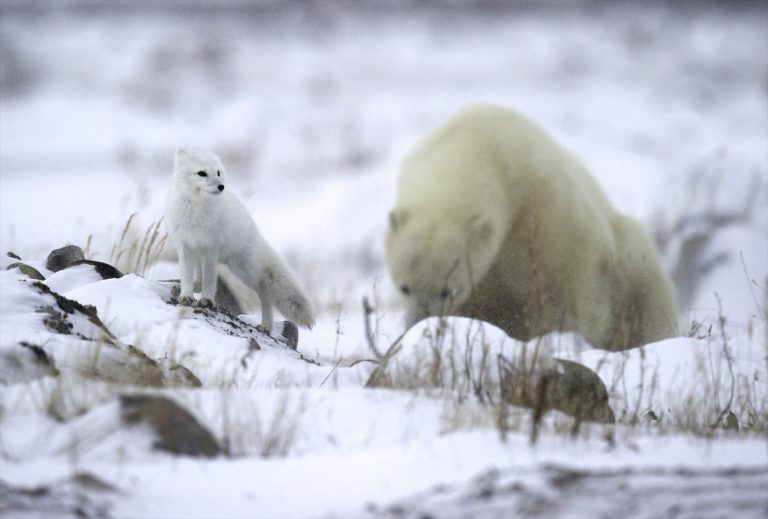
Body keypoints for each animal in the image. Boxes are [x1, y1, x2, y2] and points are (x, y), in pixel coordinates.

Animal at [165, 149, 315, 332]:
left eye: (218, 172)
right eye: (202, 173)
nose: (221, 186)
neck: (197, 210)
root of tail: (255, 230)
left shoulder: (211, 249)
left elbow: (210, 280)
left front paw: (207, 300)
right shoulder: (185, 246)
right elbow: (187, 275)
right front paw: (186, 296)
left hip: (243, 269)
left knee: (264, 291)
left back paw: (266, 326)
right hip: (207, 259)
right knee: (199, 281)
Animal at [385, 104, 679, 351]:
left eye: (447, 290)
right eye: (404, 287)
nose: (417, 323)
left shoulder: (545, 206)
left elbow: (572, 282)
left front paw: (567, 339)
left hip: (633, 259)